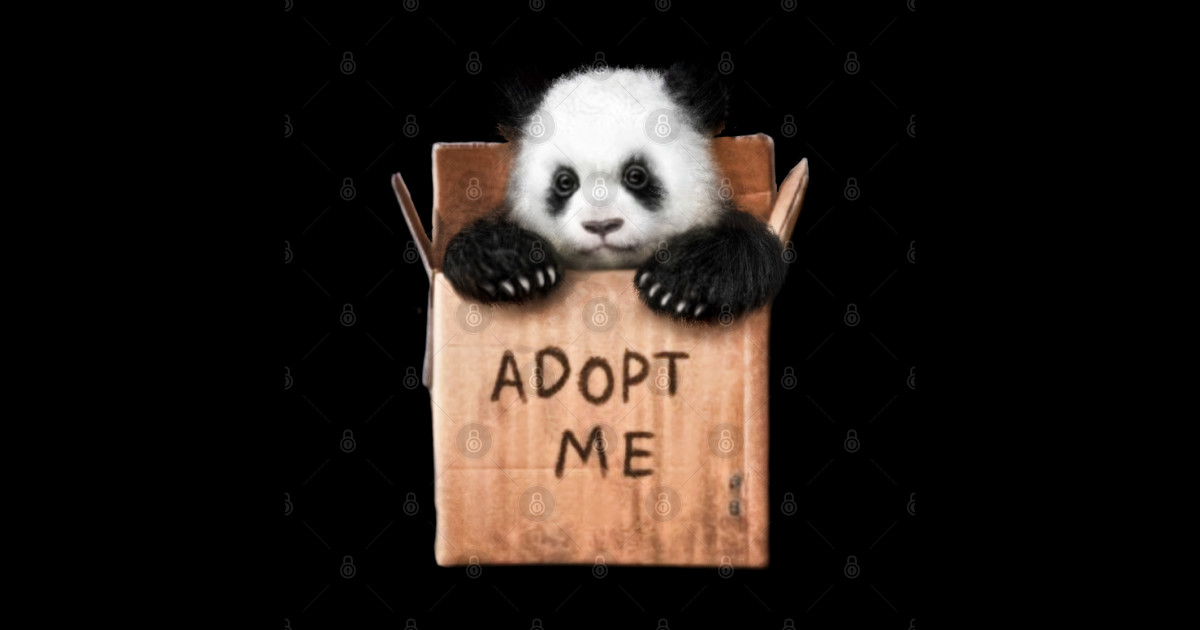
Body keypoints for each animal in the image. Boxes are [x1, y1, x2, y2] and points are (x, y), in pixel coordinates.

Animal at [443, 63, 787, 323]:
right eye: (564, 182)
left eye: (636, 175)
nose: (601, 226)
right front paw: (511, 267)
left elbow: (750, 248)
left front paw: (680, 283)